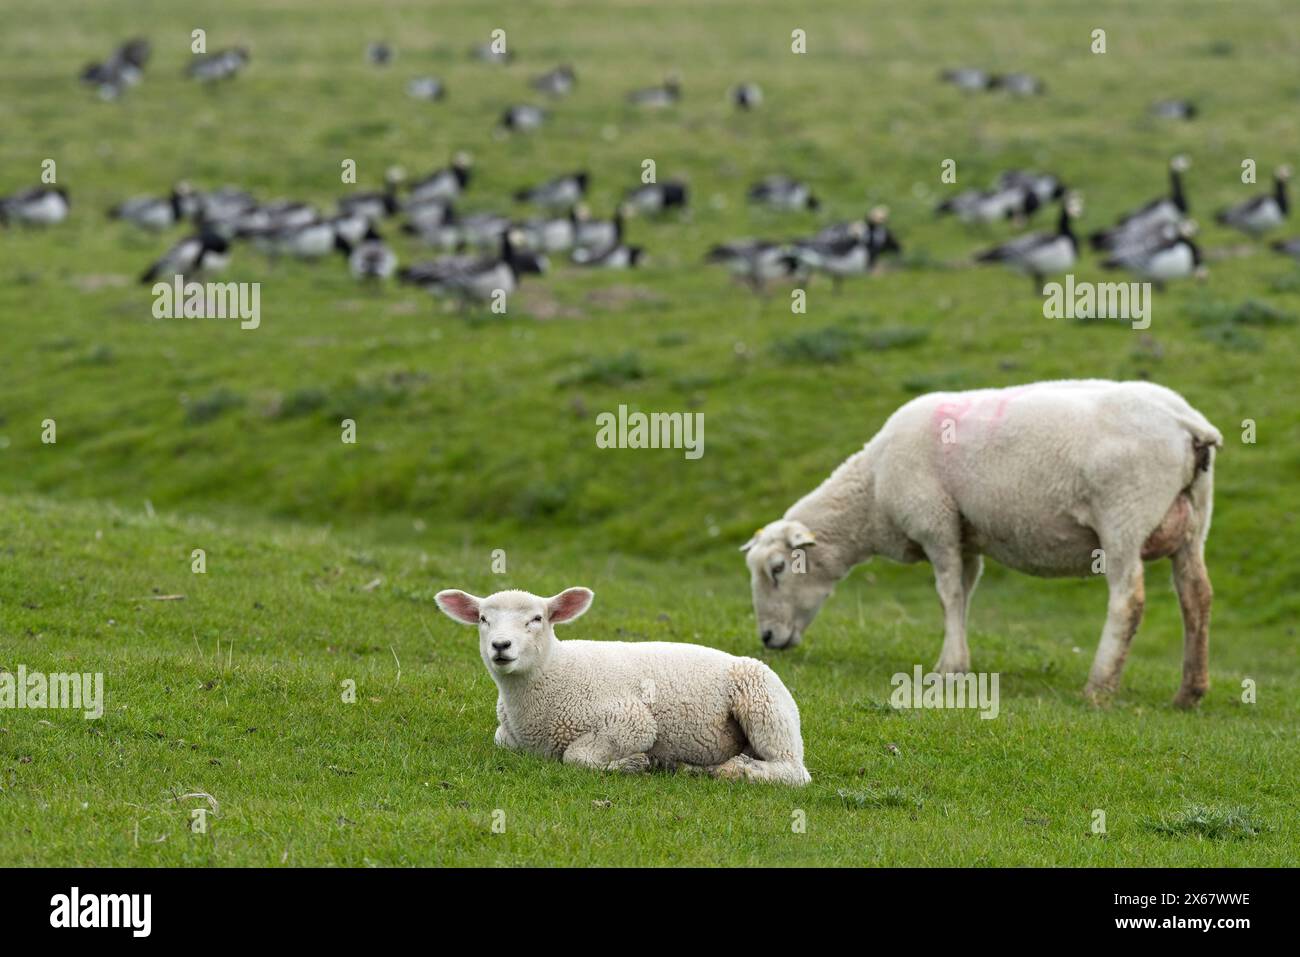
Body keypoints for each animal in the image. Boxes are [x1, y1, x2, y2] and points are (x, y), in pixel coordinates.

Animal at [434, 586, 811, 786]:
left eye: (537, 619)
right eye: (483, 619)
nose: (501, 646)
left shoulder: (630, 722)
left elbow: (576, 757)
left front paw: (633, 764)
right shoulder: (508, 735)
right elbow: (501, 740)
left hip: (764, 706)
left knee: (792, 771)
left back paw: (725, 769)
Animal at [741, 379, 1221, 708]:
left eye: (778, 569)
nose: (767, 638)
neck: (871, 491)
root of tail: (1186, 423)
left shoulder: (935, 522)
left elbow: (948, 593)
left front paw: (948, 668)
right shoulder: (964, 533)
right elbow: (965, 593)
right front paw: (958, 658)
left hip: (1124, 515)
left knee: (1128, 601)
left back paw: (1099, 686)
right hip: (1195, 522)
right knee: (1196, 596)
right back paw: (1190, 692)